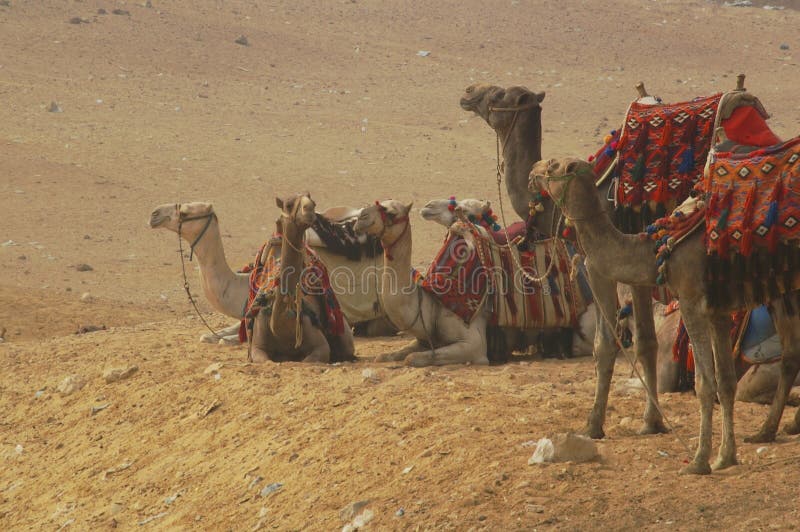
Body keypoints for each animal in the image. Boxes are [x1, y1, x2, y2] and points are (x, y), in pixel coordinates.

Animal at [248, 194, 355, 363]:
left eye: (313, 203)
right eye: (288, 205)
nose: (309, 209)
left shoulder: (319, 344)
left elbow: (312, 357)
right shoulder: (257, 346)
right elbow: (264, 358)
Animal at [353, 200, 489, 366]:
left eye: (391, 212)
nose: (361, 217)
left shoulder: (475, 346)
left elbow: (411, 358)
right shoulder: (423, 340)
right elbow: (388, 355)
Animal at [531, 157, 800, 474]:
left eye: (553, 167)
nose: (533, 171)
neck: (659, 248)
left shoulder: (691, 301)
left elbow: (704, 384)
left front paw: (699, 461)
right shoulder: (718, 312)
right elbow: (725, 381)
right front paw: (725, 457)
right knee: (790, 355)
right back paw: (765, 432)